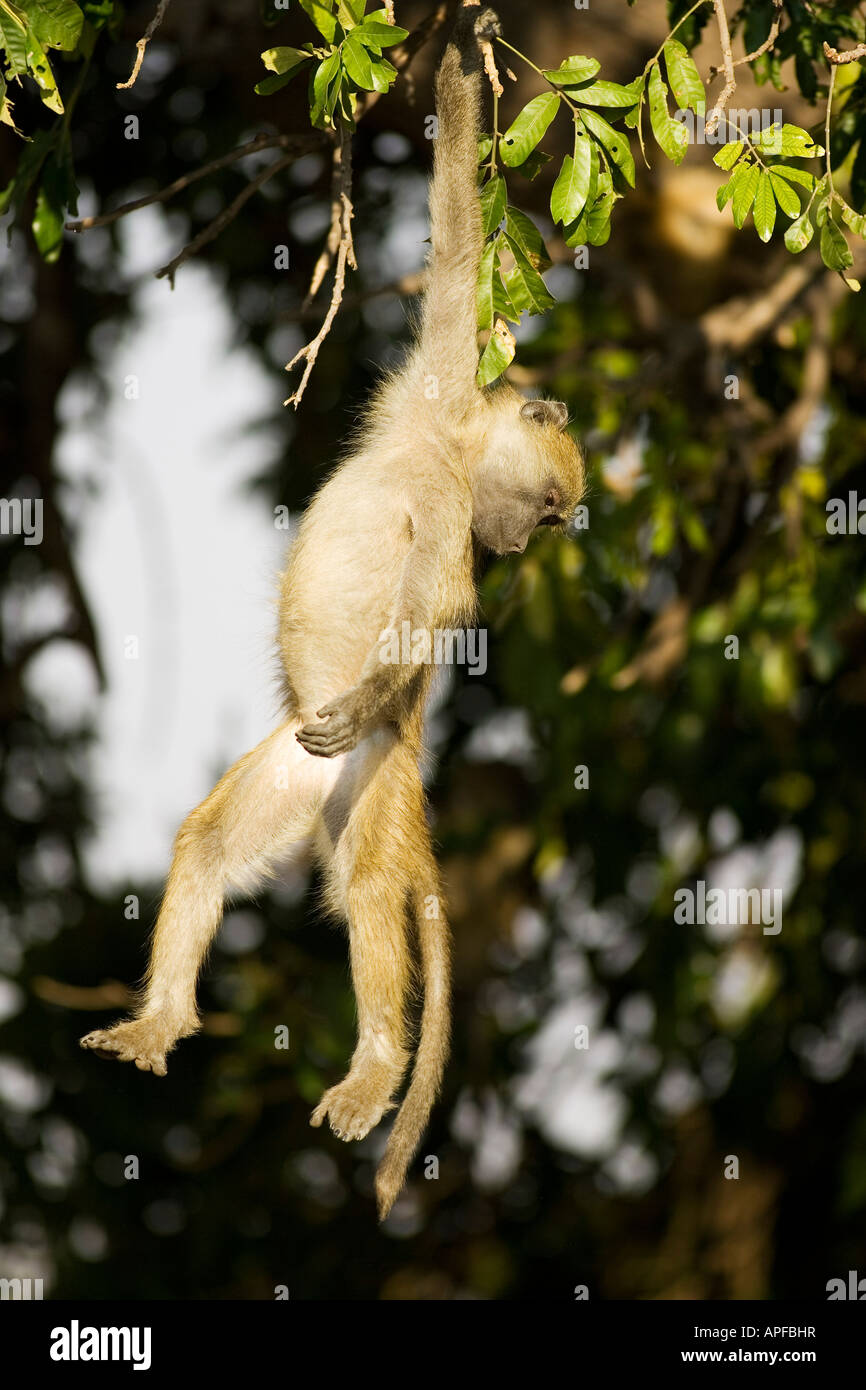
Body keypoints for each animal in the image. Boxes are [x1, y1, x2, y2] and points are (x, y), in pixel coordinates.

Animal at [79, 4, 585, 1221]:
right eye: (549, 512)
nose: (527, 544)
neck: (444, 448)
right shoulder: (430, 389)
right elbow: (452, 234)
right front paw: (457, 51)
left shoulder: (446, 520)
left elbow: (432, 611)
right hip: (294, 774)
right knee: (212, 843)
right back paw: (163, 1018)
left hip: (373, 781)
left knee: (364, 892)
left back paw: (372, 1069)